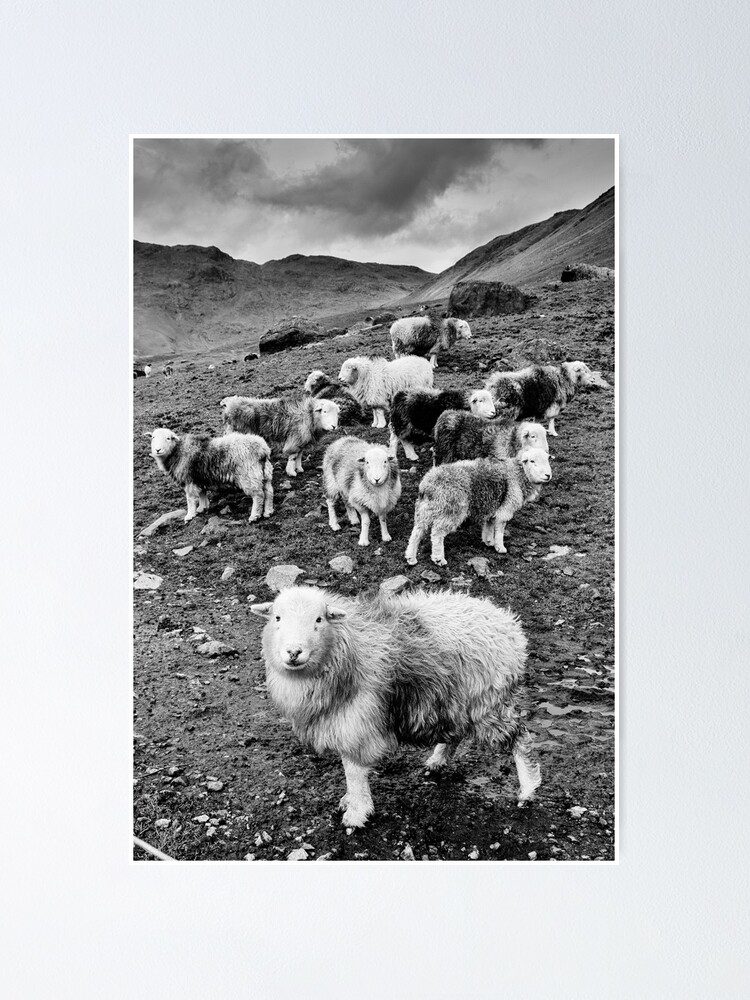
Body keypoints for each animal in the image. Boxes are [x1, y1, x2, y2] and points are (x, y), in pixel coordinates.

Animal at [145, 427, 274, 523]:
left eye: (168, 438)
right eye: (153, 437)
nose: (157, 450)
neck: (177, 451)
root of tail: (263, 450)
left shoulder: (188, 480)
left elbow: (190, 499)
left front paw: (190, 515)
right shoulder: (199, 479)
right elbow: (202, 494)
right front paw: (202, 508)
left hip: (249, 476)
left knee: (258, 495)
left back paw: (254, 516)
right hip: (264, 474)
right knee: (269, 492)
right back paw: (268, 511)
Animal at [250, 585, 540, 827]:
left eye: (319, 620)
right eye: (277, 618)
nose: (293, 652)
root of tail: (507, 622)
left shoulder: (358, 723)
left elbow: (353, 771)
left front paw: (357, 813)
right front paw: (350, 801)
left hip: (489, 702)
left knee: (520, 738)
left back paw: (527, 789)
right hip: (456, 699)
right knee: (456, 732)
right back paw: (437, 761)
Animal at [404, 448, 552, 566]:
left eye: (547, 460)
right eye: (532, 461)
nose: (548, 475)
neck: (518, 473)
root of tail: (428, 484)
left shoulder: (492, 507)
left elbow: (489, 525)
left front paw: (488, 541)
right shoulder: (505, 509)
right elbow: (500, 530)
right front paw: (500, 547)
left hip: (425, 510)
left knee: (417, 532)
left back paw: (411, 558)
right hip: (451, 510)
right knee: (437, 533)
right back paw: (438, 559)